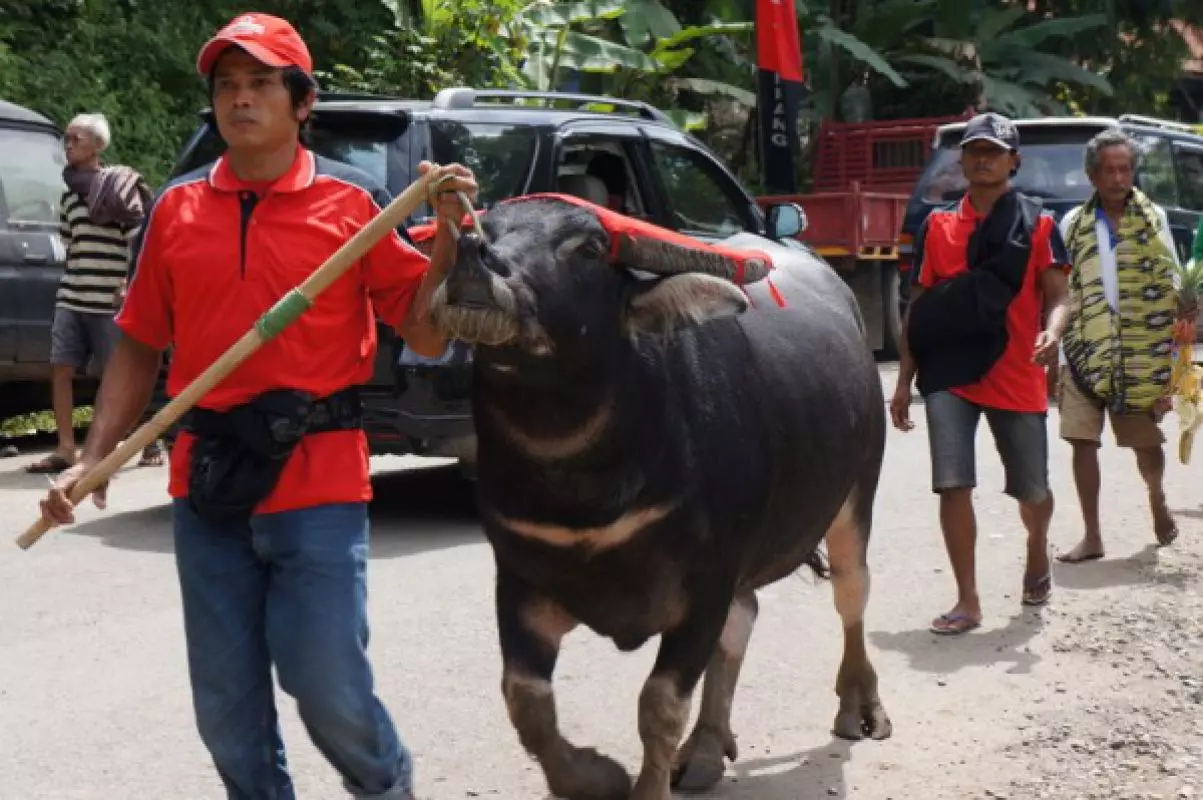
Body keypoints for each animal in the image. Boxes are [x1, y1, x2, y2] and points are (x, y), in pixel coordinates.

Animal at [428, 194, 890, 798]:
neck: (583, 485)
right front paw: (593, 776)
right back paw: (707, 747)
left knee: (852, 592)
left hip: (857, 494)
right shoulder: (519, 581)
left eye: (589, 248)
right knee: (744, 618)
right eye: (485, 226)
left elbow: (659, 705)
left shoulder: (706, 584)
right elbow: (525, 701)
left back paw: (859, 705)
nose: (473, 256)